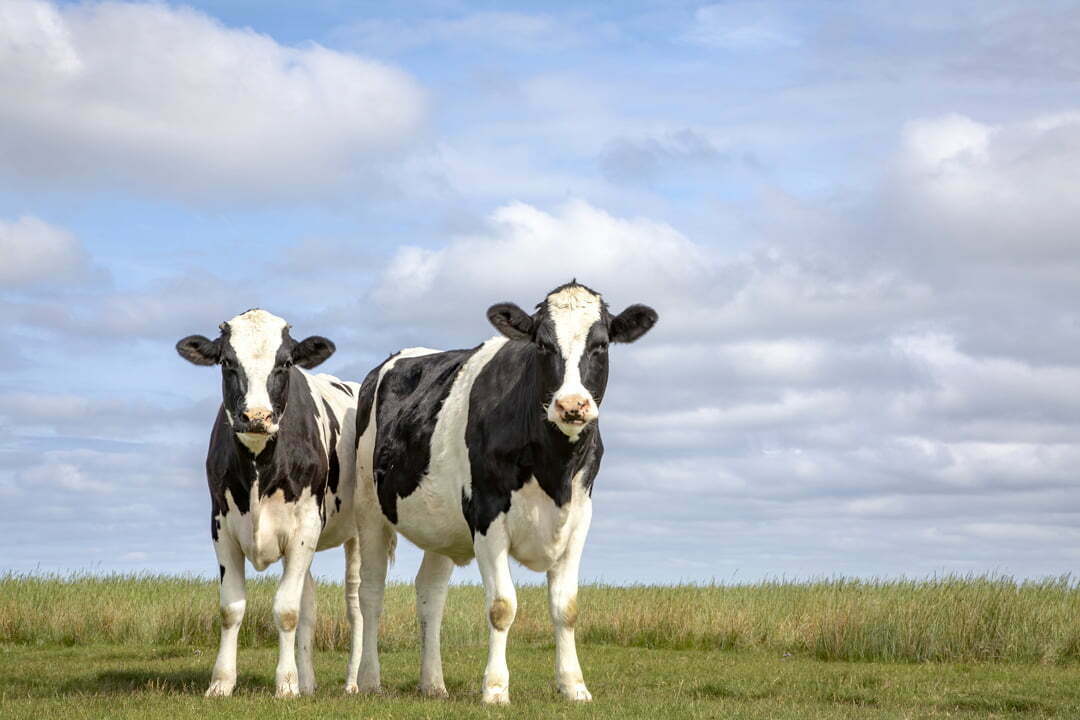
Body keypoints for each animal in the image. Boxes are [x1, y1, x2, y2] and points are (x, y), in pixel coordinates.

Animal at [176, 309, 387, 697]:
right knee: (310, 601)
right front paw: (222, 682)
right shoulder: (221, 526)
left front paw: (286, 684)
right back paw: (309, 681)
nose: (257, 417)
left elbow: (286, 610)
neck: (260, 466)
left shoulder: (305, 527)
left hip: (359, 531)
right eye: (227, 362)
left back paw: (352, 681)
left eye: (285, 363)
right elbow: (232, 608)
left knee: (355, 604)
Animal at [351, 281, 658, 703]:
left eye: (601, 344)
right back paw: (368, 680)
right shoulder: (486, 514)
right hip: (369, 509)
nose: (571, 404)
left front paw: (574, 685)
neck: (553, 469)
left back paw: (433, 684)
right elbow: (502, 606)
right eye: (543, 344)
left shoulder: (579, 517)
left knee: (430, 594)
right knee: (371, 592)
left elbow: (567, 607)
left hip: (441, 526)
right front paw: (495, 688)